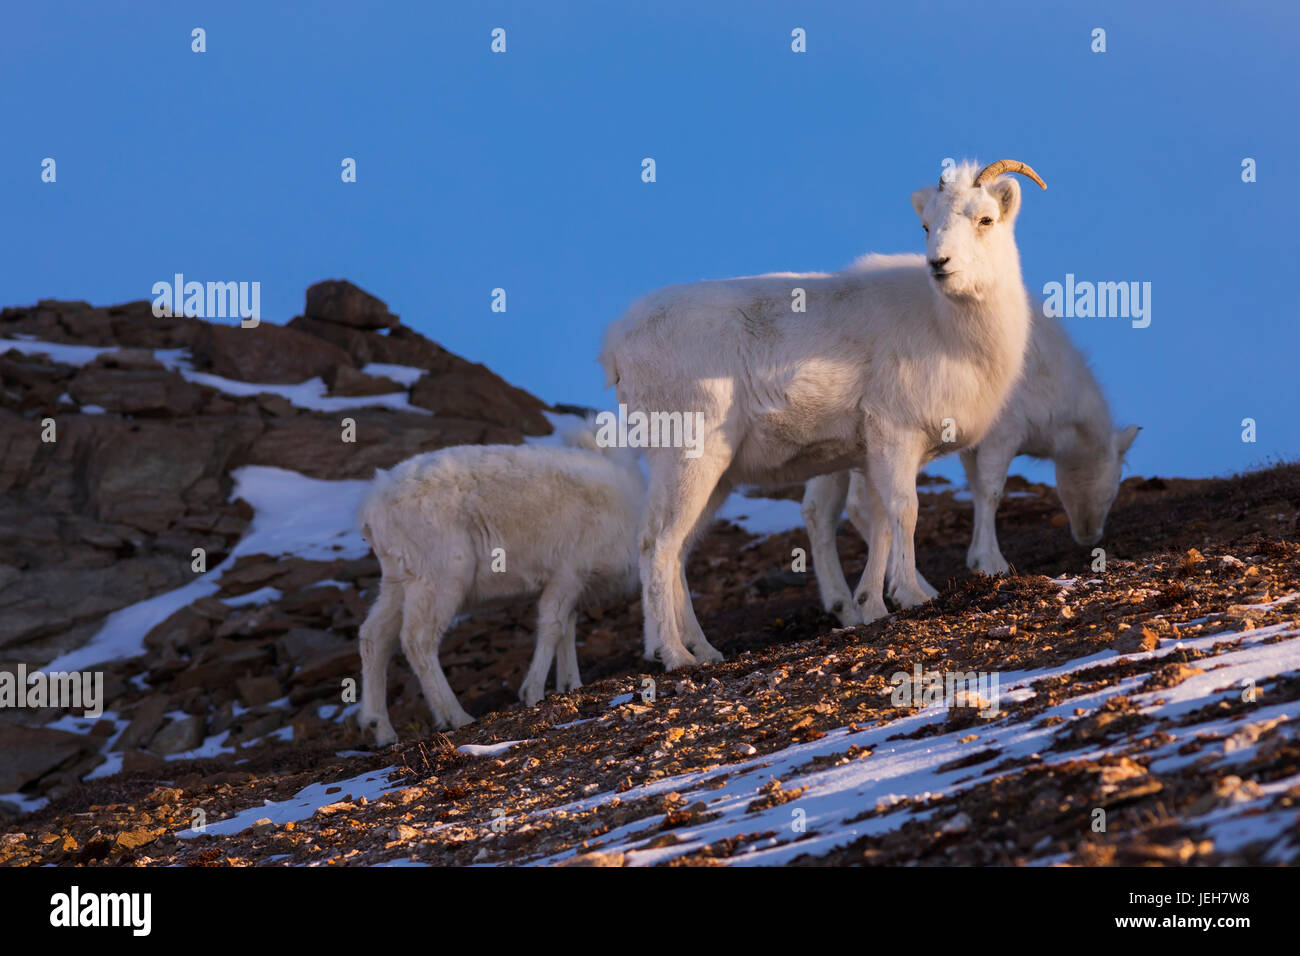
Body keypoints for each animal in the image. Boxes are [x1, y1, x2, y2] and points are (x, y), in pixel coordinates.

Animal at [355, 422, 644, 745]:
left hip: (398, 582)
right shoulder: (568, 574)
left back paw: (380, 729)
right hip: (439, 578)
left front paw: (570, 685)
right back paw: (456, 717)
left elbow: (566, 630)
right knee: (418, 640)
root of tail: (372, 506)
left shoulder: (572, 585)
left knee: (374, 637)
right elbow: (553, 627)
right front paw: (532, 693)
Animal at [599, 159, 1047, 669]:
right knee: (657, 545)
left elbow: (881, 522)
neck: (949, 329)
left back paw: (706, 651)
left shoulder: (873, 454)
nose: (940, 264)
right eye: (927, 226)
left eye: (985, 219)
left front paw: (871, 606)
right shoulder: (896, 436)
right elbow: (905, 512)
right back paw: (674, 656)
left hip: (717, 478)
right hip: (688, 459)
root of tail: (617, 344)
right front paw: (911, 596)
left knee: (677, 553)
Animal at [802, 297, 1140, 624]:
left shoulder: (970, 446)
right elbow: (991, 491)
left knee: (819, 510)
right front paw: (990, 562)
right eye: (1116, 483)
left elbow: (977, 489)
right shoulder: (1002, 432)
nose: (1090, 535)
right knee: (860, 506)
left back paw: (844, 606)